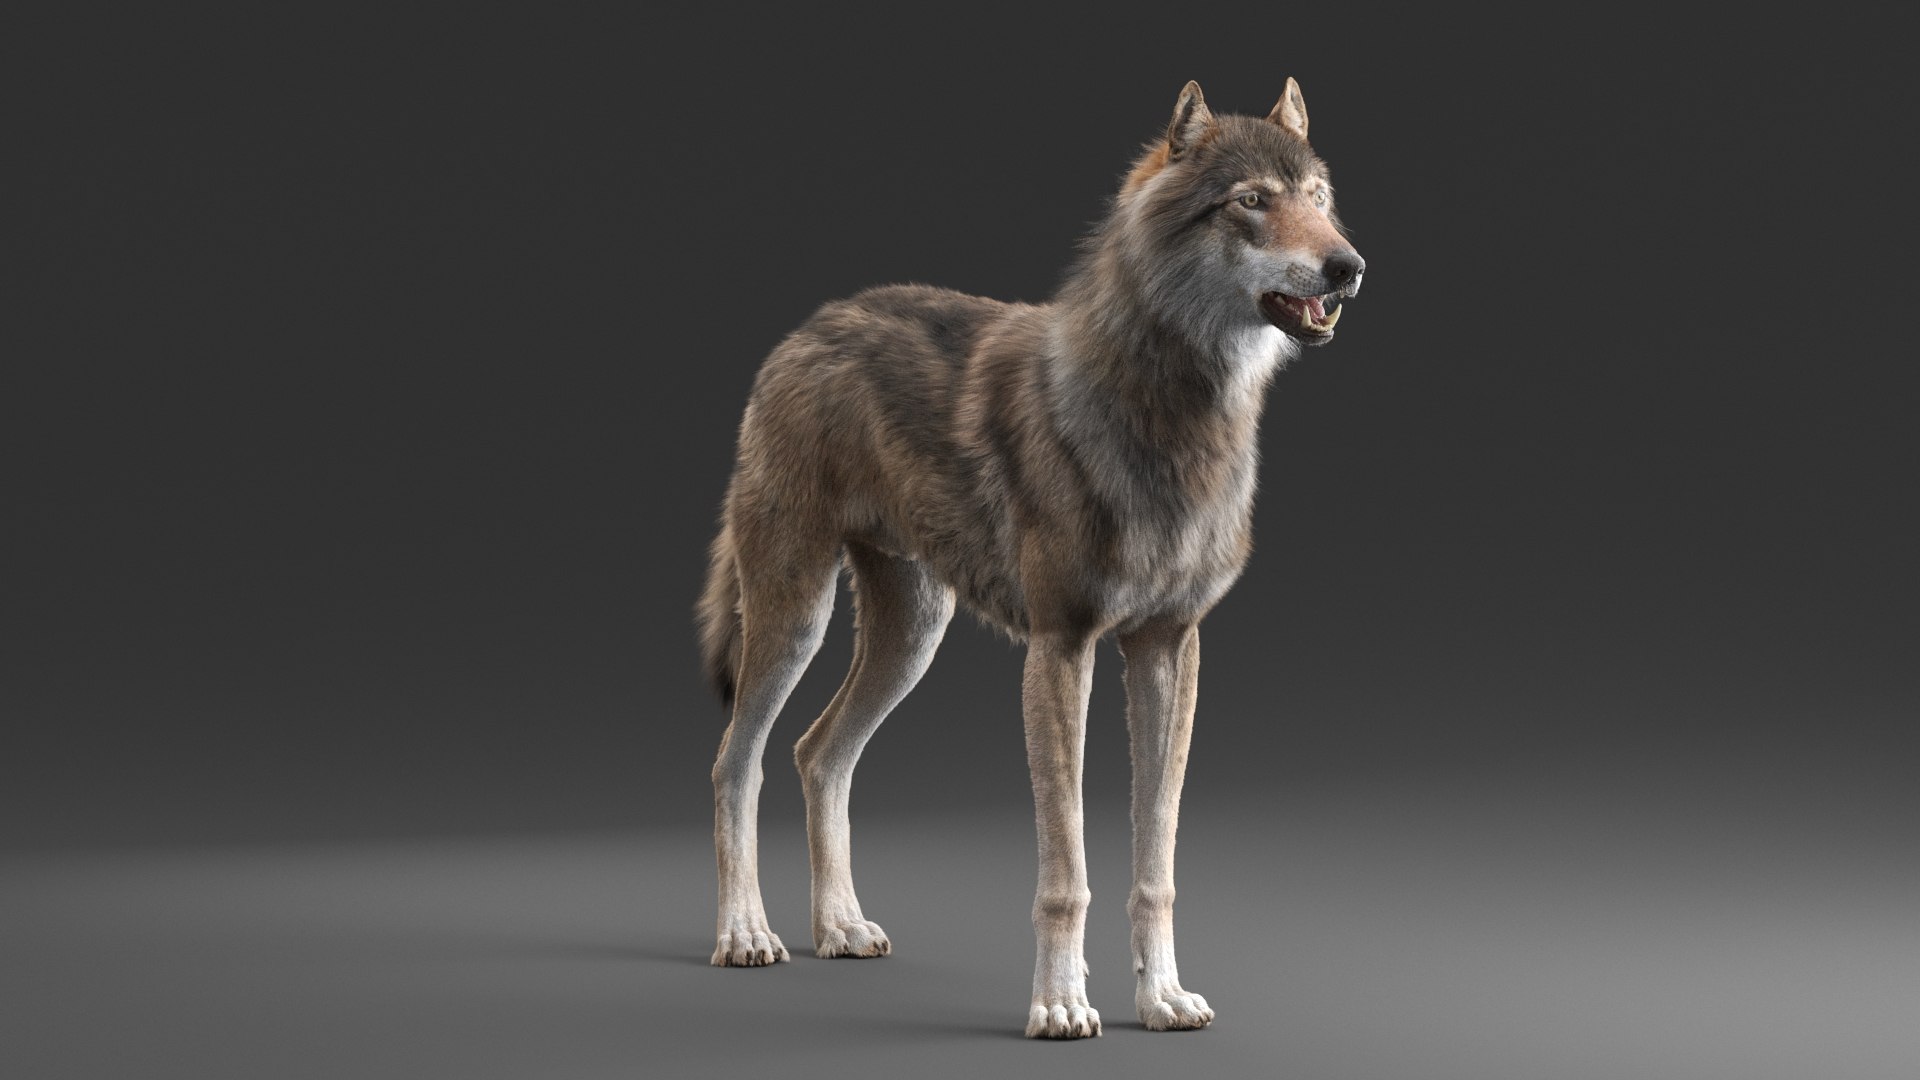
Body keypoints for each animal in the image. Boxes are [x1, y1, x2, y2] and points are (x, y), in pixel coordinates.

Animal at [696, 79, 1365, 1038]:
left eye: (1316, 199)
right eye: (1251, 202)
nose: (1349, 266)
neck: (1170, 410)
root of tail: (805, 330)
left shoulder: (1169, 649)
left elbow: (1155, 865)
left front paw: (1161, 997)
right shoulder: (1060, 649)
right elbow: (1067, 871)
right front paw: (1059, 1003)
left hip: (911, 638)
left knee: (819, 754)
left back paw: (840, 928)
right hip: (796, 617)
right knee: (736, 762)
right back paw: (746, 934)